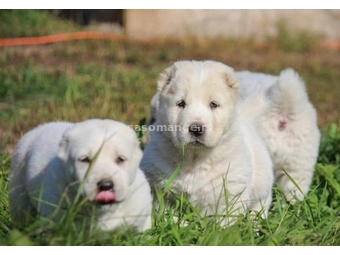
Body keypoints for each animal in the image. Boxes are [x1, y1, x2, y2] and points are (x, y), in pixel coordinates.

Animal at [140, 60, 274, 226]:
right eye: (181, 103)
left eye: (213, 104)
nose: (196, 129)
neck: (194, 158)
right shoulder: (161, 189)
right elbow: (169, 214)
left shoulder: (229, 192)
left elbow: (224, 221)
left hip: (263, 183)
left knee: (260, 205)